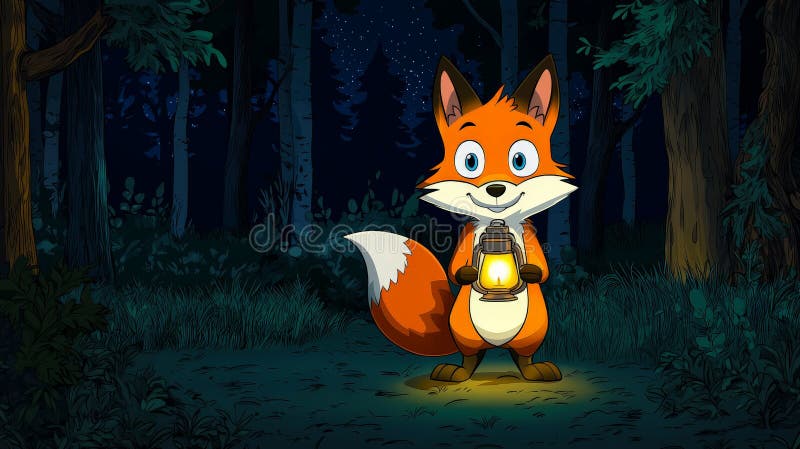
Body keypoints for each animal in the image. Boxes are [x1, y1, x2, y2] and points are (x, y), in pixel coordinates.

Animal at [345, 55, 577, 382]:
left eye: (520, 160)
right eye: (470, 161)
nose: (496, 189)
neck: (497, 223)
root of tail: (497, 345)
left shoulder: (527, 237)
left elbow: (540, 270)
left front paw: (529, 271)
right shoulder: (470, 235)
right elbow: (457, 269)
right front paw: (468, 273)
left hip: (535, 327)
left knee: (523, 356)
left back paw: (536, 369)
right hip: (463, 329)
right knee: (470, 357)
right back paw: (455, 371)